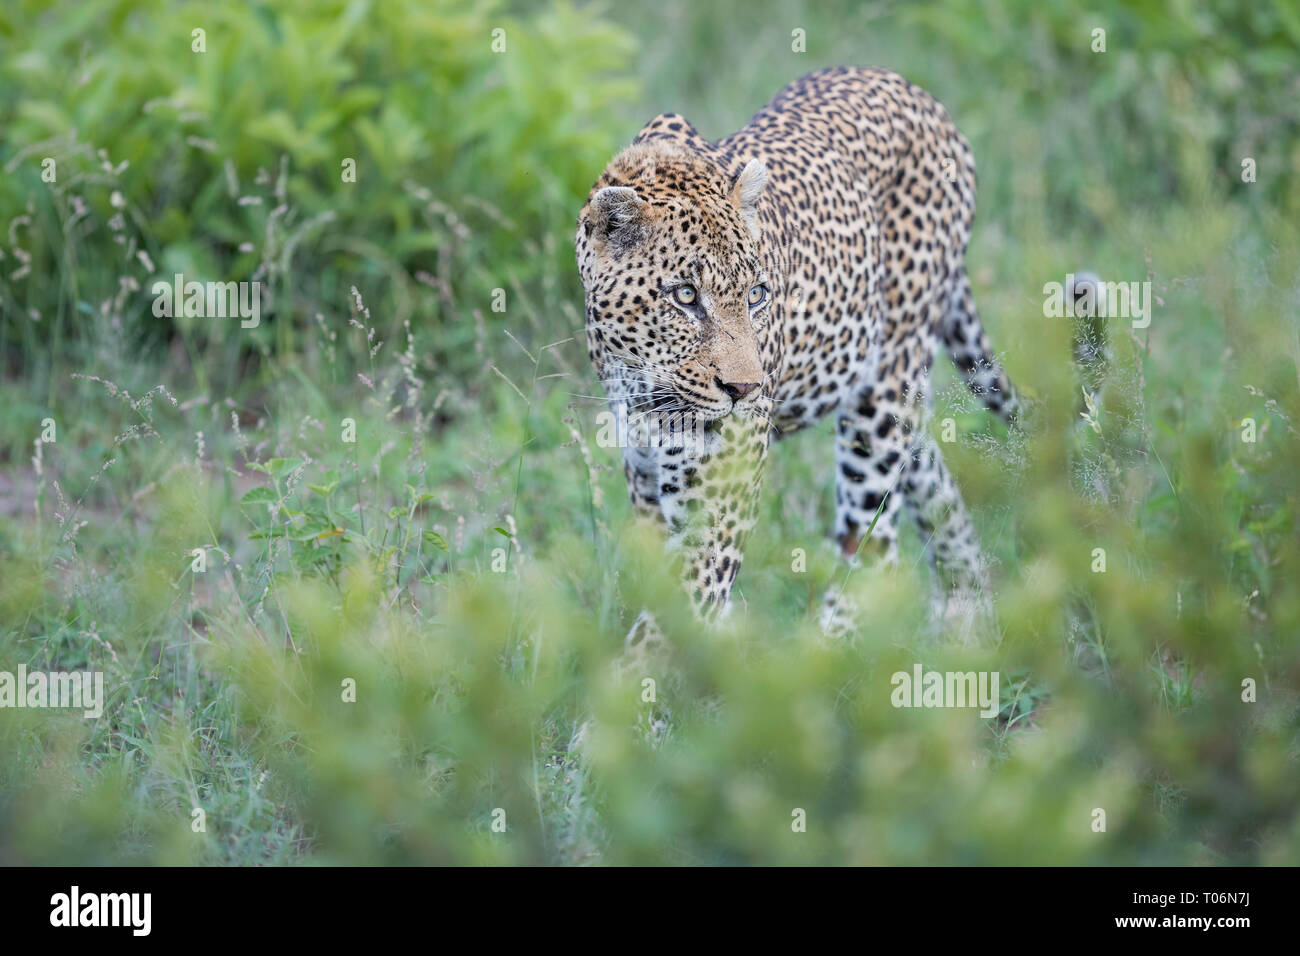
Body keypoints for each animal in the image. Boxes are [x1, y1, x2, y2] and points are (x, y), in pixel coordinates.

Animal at [574, 67, 1018, 636]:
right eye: (686, 296)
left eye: (757, 295)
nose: (745, 389)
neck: (645, 384)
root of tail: (919, 94)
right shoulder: (644, 475)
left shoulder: (717, 500)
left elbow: (677, 617)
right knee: (929, 477)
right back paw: (970, 609)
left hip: (881, 395)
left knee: (876, 544)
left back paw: (829, 646)